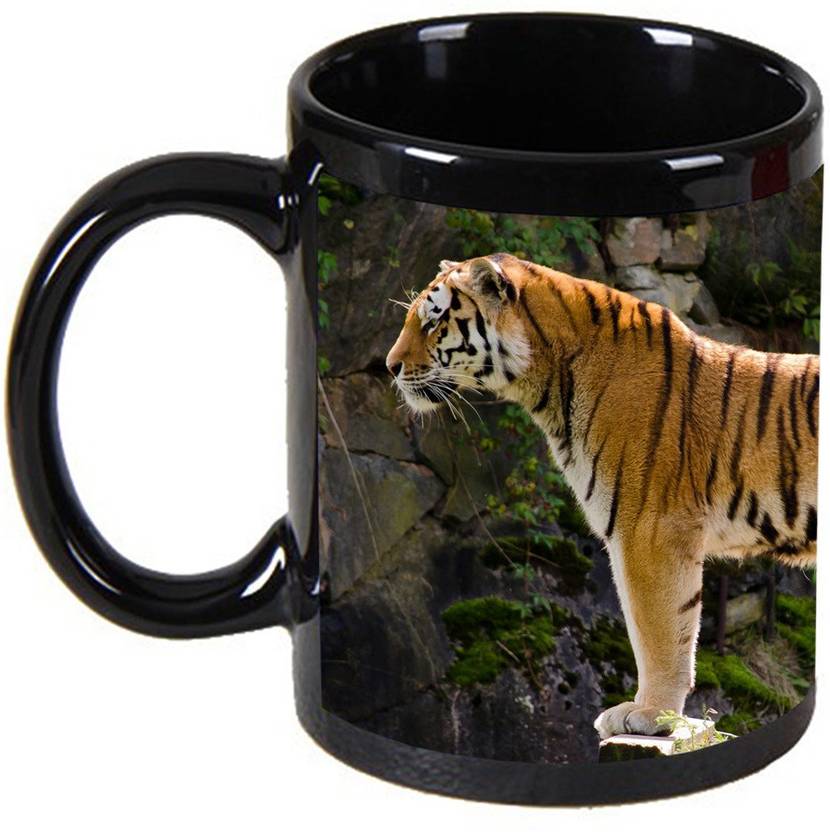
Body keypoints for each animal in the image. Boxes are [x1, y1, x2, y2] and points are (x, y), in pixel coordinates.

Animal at [385, 252, 819, 739]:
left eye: (433, 322)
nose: (389, 366)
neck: (547, 380)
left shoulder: (650, 529)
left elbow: (659, 629)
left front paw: (650, 714)